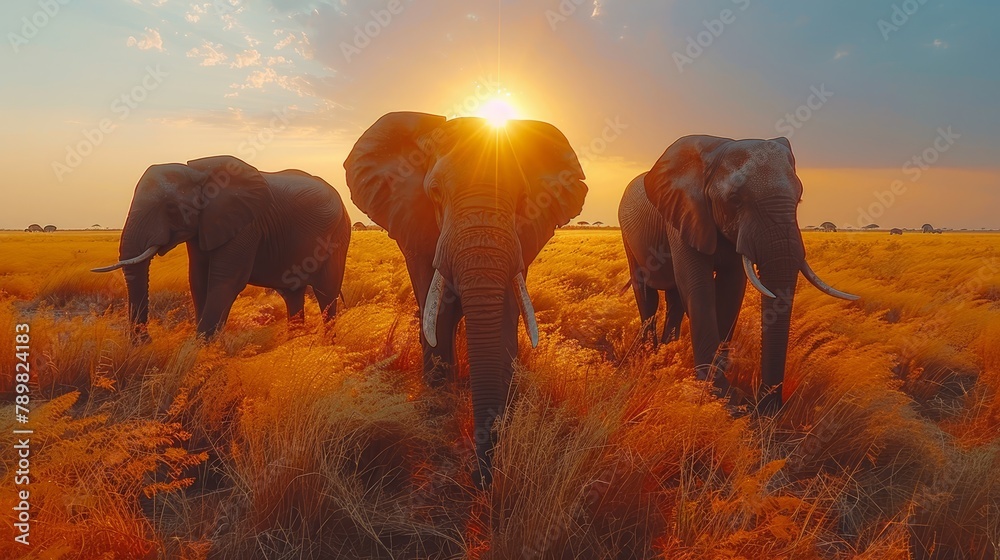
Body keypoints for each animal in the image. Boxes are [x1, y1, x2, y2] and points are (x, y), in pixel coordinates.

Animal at [92, 155, 351, 340]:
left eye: (171, 208)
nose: (146, 341)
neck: (199, 173)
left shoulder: (247, 226)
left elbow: (225, 281)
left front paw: (199, 353)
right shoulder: (203, 227)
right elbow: (198, 280)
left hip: (338, 235)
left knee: (326, 294)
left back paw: (326, 348)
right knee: (293, 295)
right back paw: (294, 346)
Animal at [343, 112, 588, 488]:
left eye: (523, 197)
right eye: (434, 192)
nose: (478, 476)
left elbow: (504, 320)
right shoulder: (418, 229)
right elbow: (439, 317)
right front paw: (438, 406)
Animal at [619, 136, 858, 414]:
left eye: (798, 199)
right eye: (734, 199)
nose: (763, 405)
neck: (718, 148)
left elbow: (731, 290)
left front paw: (721, 389)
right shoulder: (685, 212)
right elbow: (698, 288)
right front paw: (720, 396)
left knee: (674, 299)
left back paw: (667, 352)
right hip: (627, 233)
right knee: (647, 293)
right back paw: (649, 355)